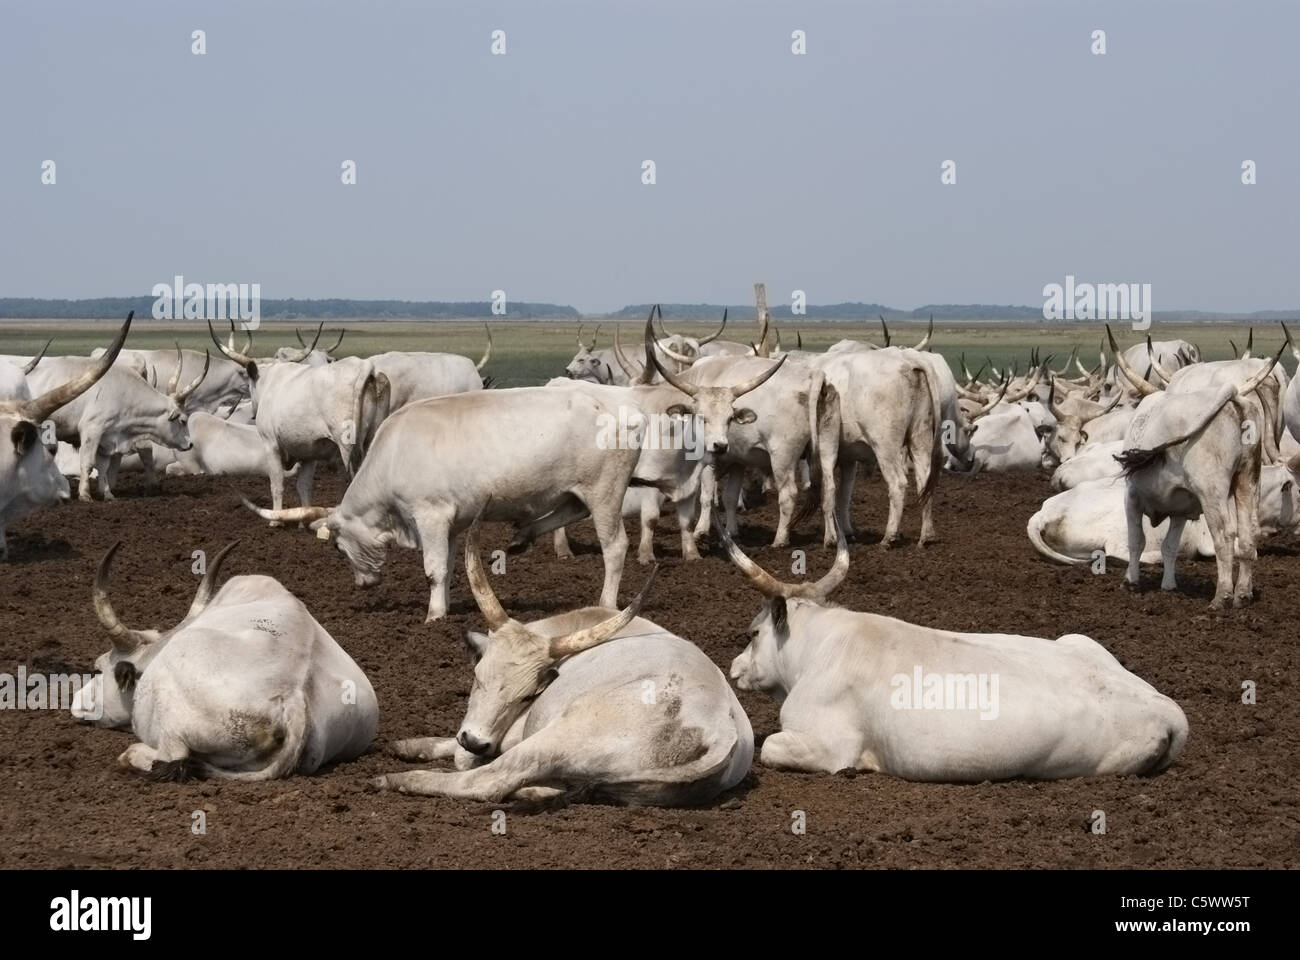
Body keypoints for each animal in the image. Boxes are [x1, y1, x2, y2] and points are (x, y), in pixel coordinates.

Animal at [70, 541, 378, 780]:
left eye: (99, 669)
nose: (76, 703)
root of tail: (292, 694)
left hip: (174, 726)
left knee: (172, 757)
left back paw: (132, 754)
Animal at [238, 384, 642, 622]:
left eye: (338, 548)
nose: (362, 584)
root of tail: (620, 405)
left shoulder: (430, 515)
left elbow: (432, 568)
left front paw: (433, 616)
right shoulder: (453, 521)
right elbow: (446, 566)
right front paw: (443, 607)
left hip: (605, 491)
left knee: (615, 548)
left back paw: (606, 604)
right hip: (581, 490)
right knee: (570, 510)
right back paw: (522, 535)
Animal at [370, 515, 753, 805]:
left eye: (527, 696)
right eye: (478, 677)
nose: (475, 740)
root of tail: (721, 729)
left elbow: (466, 760)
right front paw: (410, 744)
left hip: (556, 739)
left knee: (490, 780)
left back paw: (397, 779)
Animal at [715, 518, 1188, 780]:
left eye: (752, 633)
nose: (734, 668)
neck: (819, 650)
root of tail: (1166, 709)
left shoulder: (825, 745)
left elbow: (770, 748)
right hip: (1080, 639)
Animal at [1114, 344, 1283, 608]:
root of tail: (1232, 395)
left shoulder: (1131, 497)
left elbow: (1136, 540)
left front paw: (1130, 581)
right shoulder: (1180, 510)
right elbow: (1169, 546)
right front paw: (1169, 585)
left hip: (1212, 491)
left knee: (1224, 536)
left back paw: (1222, 596)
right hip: (1248, 480)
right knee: (1248, 534)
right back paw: (1242, 594)